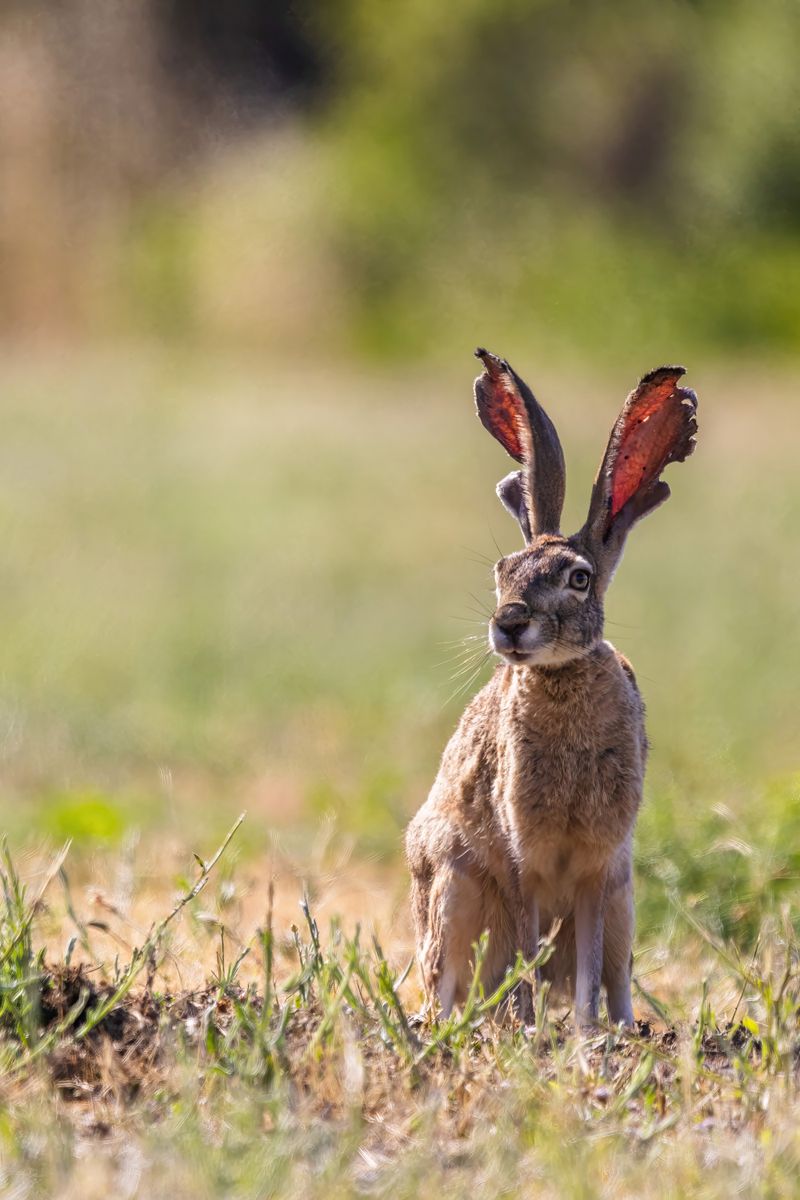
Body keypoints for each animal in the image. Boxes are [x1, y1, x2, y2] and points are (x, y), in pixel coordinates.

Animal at [406, 349, 697, 1028]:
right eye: (502, 570)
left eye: (579, 578)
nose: (509, 623)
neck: (563, 678)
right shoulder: (522, 860)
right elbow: (525, 946)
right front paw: (533, 1028)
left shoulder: (598, 869)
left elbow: (587, 964)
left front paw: (585, 1034)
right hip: (450, 889)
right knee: (448, 980)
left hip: (624, 903)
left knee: (614, 972)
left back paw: (625, 1028)